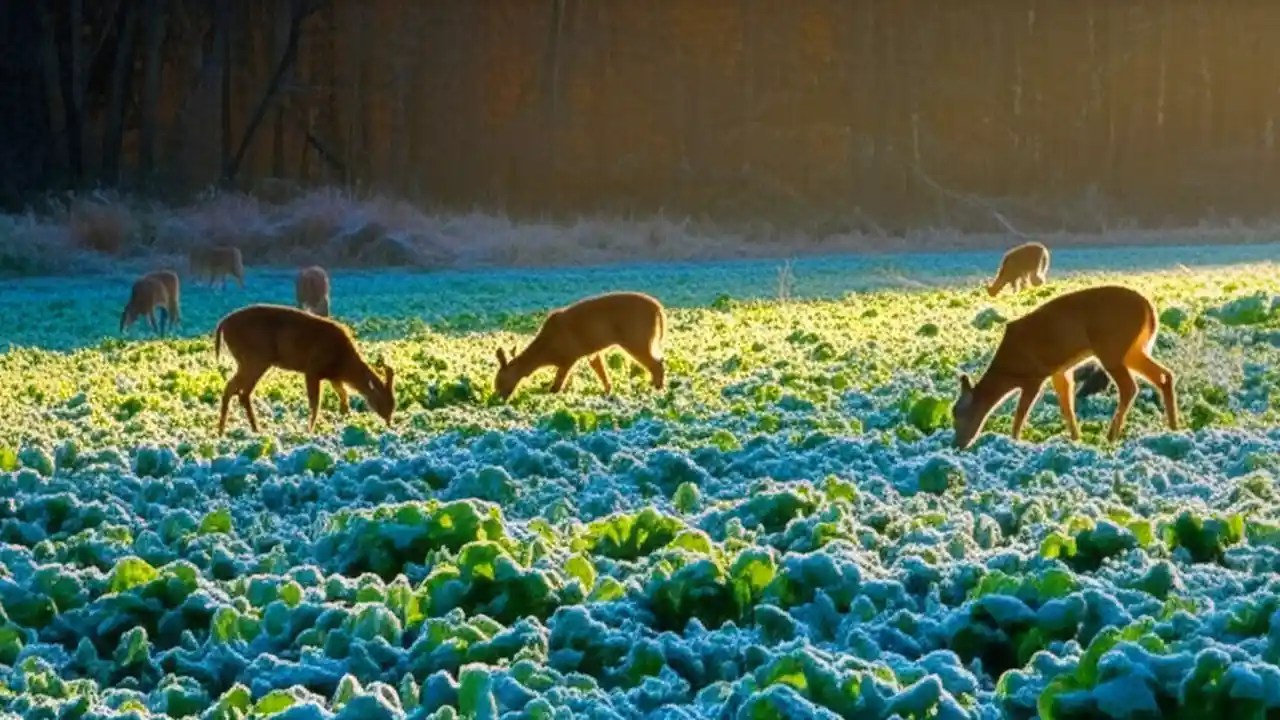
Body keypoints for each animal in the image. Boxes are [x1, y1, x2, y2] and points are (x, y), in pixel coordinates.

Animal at [213, 304, 395, 435]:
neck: (343, 362)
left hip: (250, 361)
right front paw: (310, 432)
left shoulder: (333, 376)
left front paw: (343, 422)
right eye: (383, 402)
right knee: (234, 388)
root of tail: (223, 324)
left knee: (241, 392)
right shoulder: (313, 369)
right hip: (254, 358)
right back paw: (230, 431)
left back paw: (246, 430)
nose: (389, 422)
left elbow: (343, 397)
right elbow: (315, 403)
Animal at [494, 291, 666, 401]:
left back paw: (654, 390)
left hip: (636, 338)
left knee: (656, 364)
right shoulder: (590, 352)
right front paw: (608, 392)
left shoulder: (569, 356)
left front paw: (550, 396)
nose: (498, 398)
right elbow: (601, 373)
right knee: (658, 362)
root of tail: (658, 309)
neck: (546, 350)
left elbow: (557, 385)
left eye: (499, 381)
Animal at [952, 285, 1179, 449]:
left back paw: (1111, 435)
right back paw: (1174, 428)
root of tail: (1150, 310)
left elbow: (1021, 412)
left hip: (1111, 349)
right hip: (1131, 349)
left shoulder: (1035, 375)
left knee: (1130, 387)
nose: (958, 445)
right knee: (1164, 375)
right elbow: (1066, 405)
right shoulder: (1059, 371)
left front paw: (1014, 441)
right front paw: (1075, 439)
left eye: (959, 415)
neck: (1009, 368)